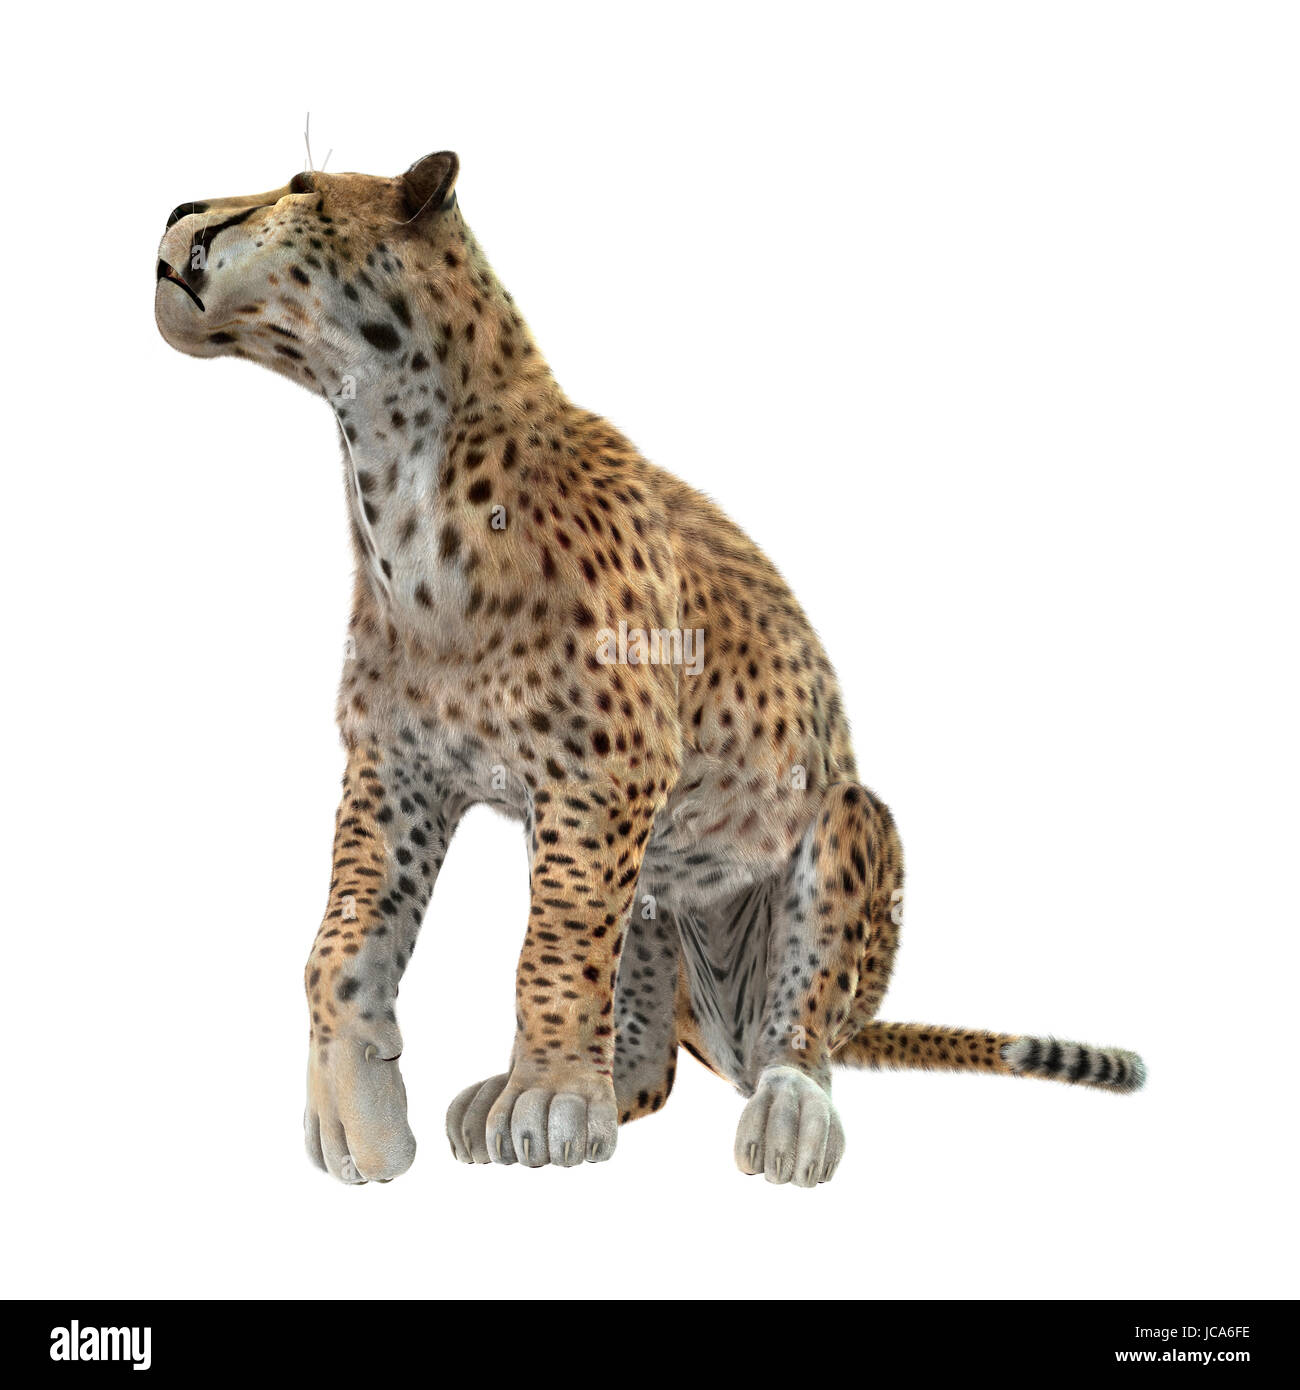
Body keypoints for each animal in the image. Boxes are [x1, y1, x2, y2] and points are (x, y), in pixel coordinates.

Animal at [155, 150, 1145, 1188]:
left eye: (300, 187)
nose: (182, 209)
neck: (399, 484)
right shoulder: (396, 767)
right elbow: (343, 939)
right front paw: (359, 1112)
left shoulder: (604, 774)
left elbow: (552, 946)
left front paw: (548, 1094)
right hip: (657, 899)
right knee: (649, 1046)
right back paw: (577, 1089)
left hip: (843, 824)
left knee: (800, 1030)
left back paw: (783, 1115)